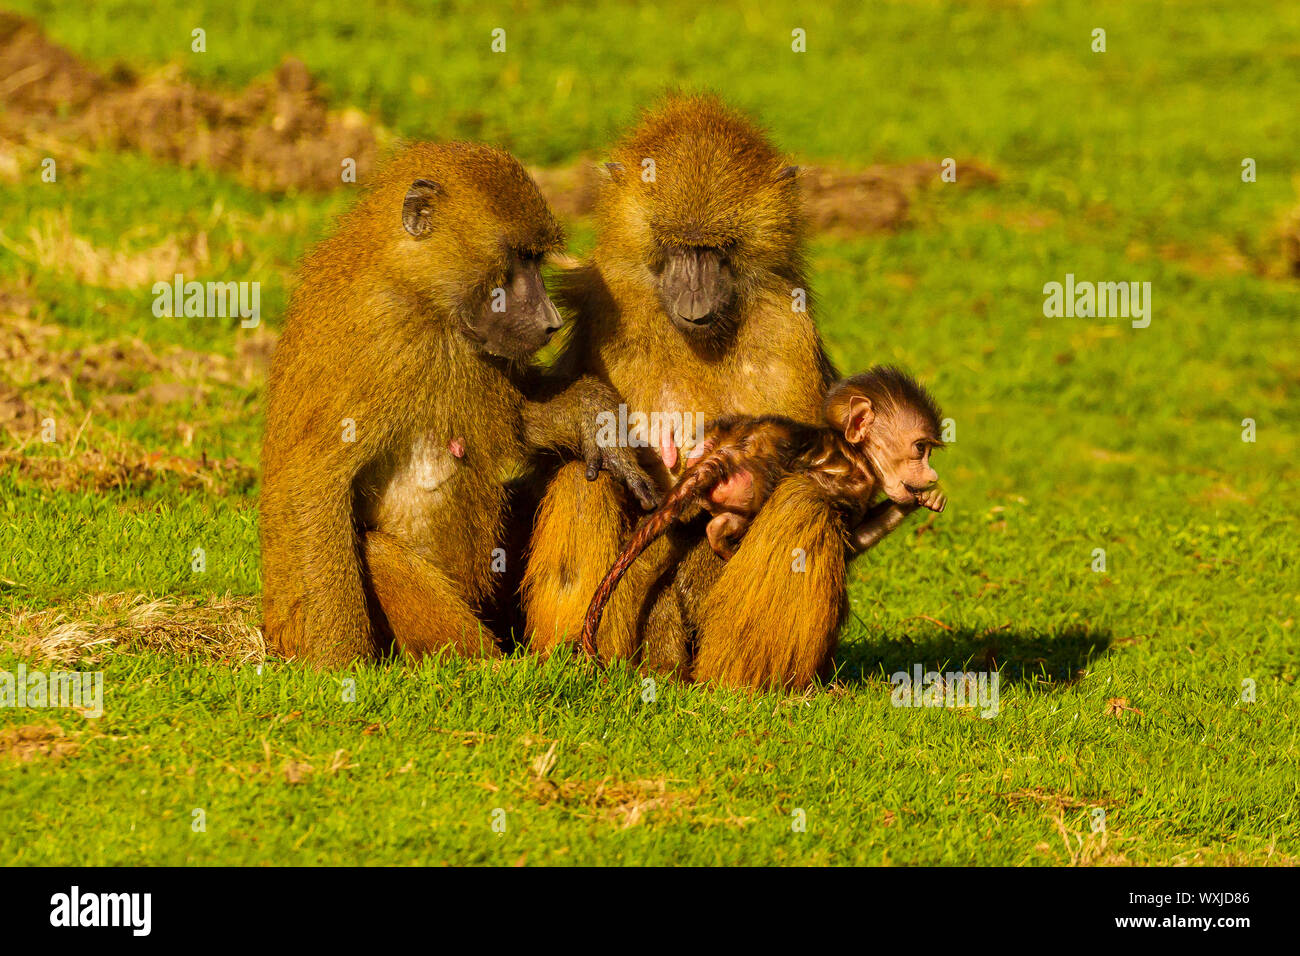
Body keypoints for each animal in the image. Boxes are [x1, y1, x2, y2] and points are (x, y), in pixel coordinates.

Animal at [260, 141, 657, 669]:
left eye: (535, 259)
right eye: (518, 258)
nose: (550, 322)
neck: (418, 292)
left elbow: (516, 421)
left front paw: (591, 420)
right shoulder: (381, 340)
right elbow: (311, 484)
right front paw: (339, 666)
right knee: (376, 553)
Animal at [579, 367, 947, 658]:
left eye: (929, 451)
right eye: (920, 449)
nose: (932, 475)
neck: (857, 454)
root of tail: (725, 453)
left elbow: (852, 541)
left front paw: (922, 501)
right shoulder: (851, 479)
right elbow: (835, 522)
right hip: (750, 483)